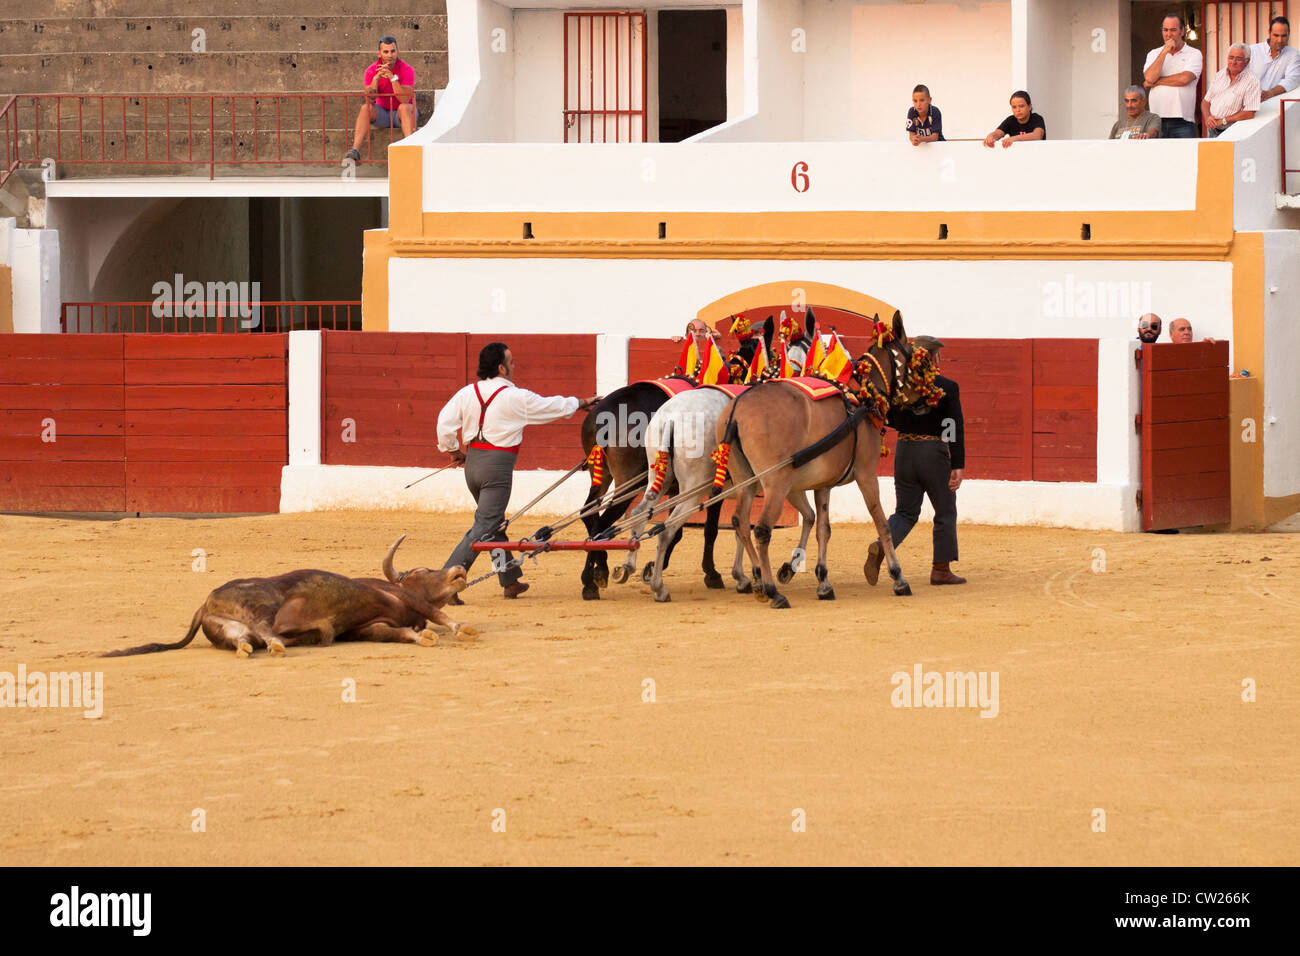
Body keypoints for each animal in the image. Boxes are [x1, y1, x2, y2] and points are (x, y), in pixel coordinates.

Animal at [102, 535, 475, 659]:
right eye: (424, 571)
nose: (458, 569)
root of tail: (204, 604)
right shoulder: (408, 601)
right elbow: (438, 614)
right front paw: (462, 629)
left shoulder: (366, 627)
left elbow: (393, 633)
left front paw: (421, 635)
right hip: (261, 608)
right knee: (268, 630)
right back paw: (284, 644)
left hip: (228, 628)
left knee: (243, 640)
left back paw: (251, 650)